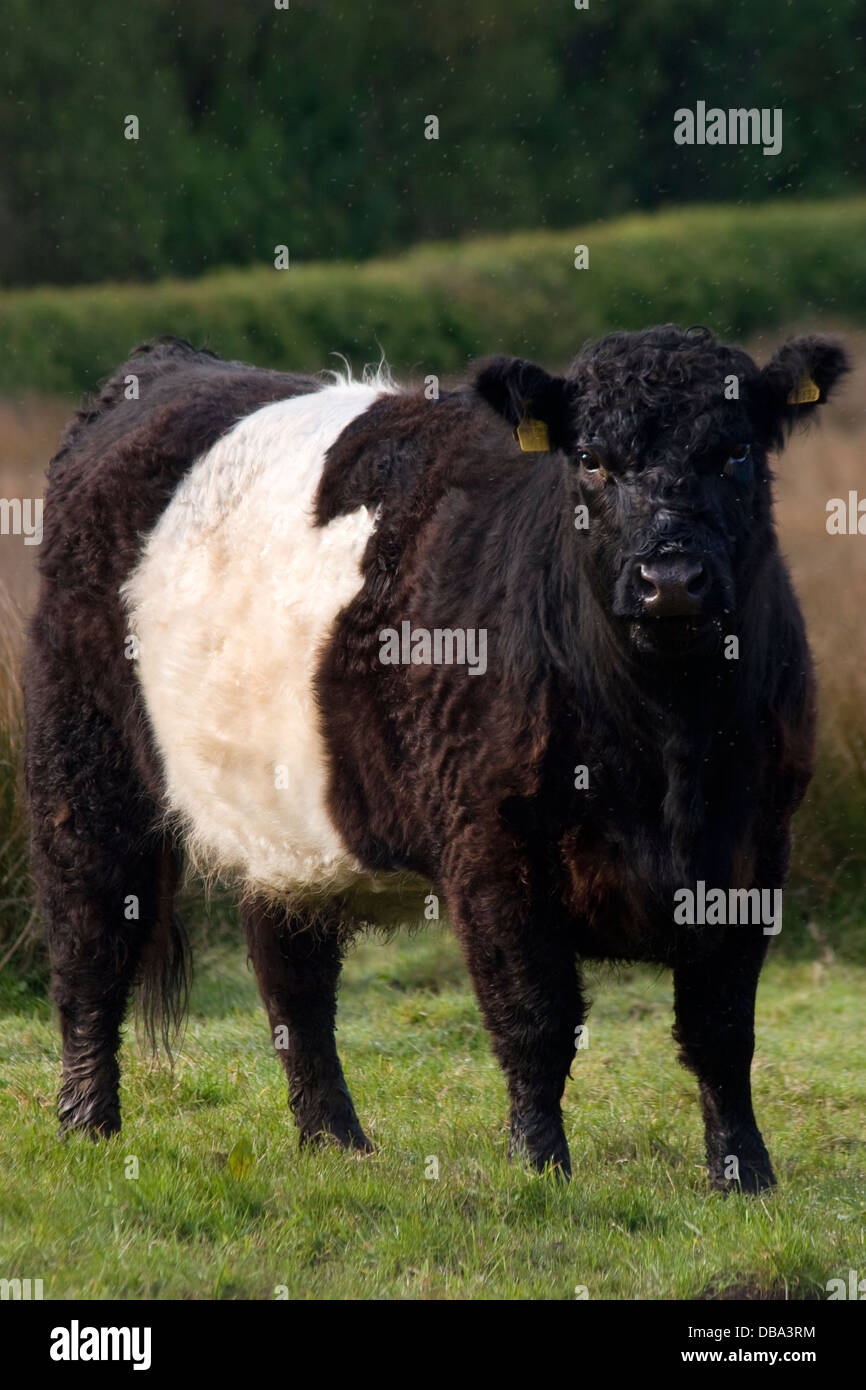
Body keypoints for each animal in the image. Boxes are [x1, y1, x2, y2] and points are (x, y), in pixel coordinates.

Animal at [24, 326, 848, 1188]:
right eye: (591, 459)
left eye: (738, 452)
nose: (672, 579)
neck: (667, 737)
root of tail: (167, 360)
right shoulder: (492, 845)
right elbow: (535, 1018)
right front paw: (539, 1169)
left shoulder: (757, 845)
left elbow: (722, 1029)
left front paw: (745, 1176)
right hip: (83, 761)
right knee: (91, 939)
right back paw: (88, 1125)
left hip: (283, 822)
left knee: (293, 982)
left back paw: (333, 1140)